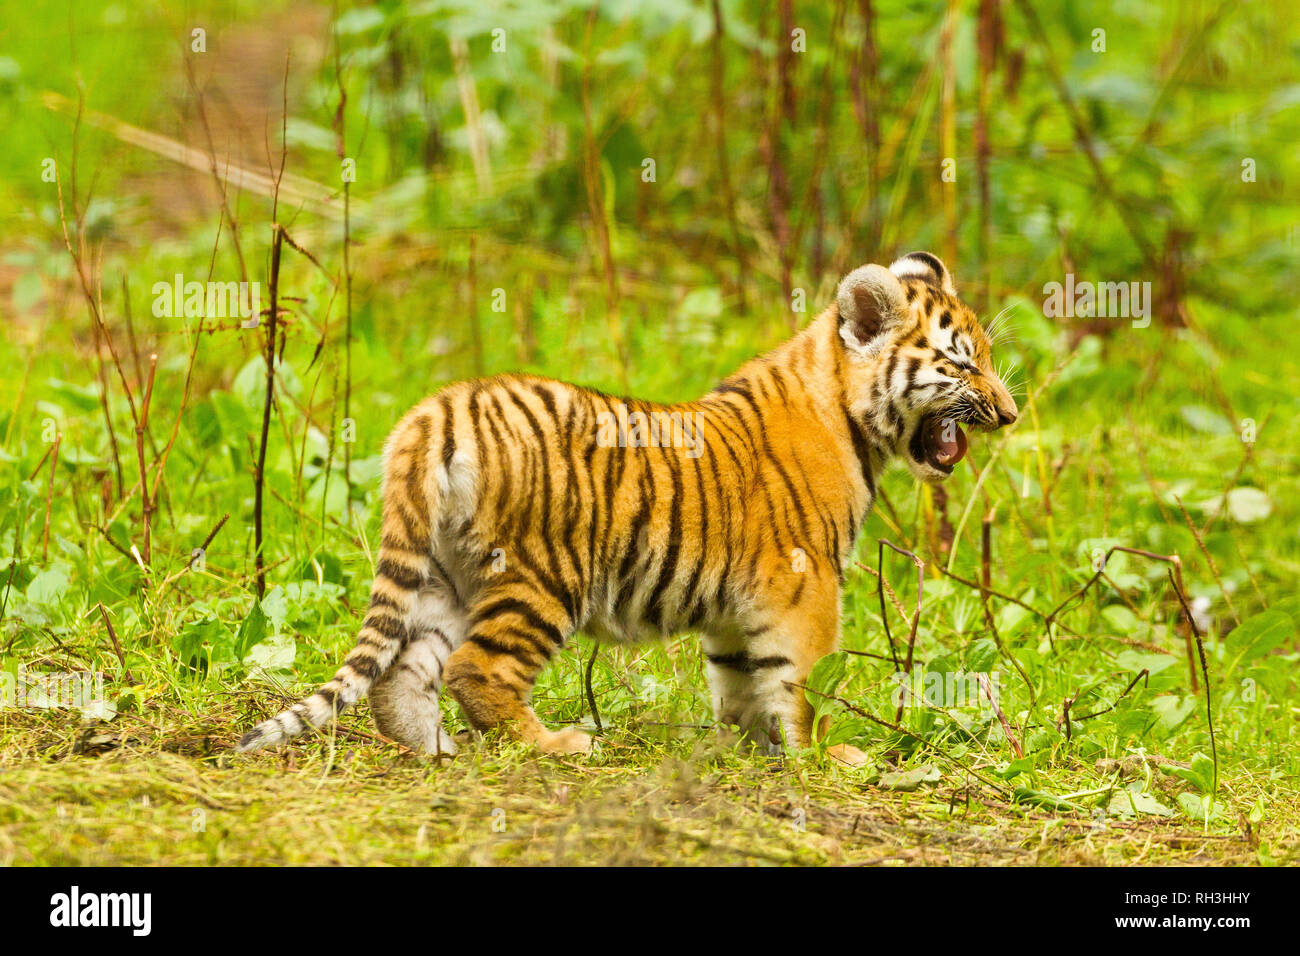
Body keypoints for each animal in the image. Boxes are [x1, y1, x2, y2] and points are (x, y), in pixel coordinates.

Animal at [236, 252, 1019, 766]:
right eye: (962, 364)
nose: (1010, 413)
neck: (850, 413)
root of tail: (438, 409)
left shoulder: (740, 606)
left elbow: (742, 679)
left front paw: (747, 749)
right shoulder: (807, 585)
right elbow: (798, 680)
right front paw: (823, 756)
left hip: (441, 574)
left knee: (403, 676)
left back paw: (435, 751)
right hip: (542, 577)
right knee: (474, 670)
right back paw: (557, 744)